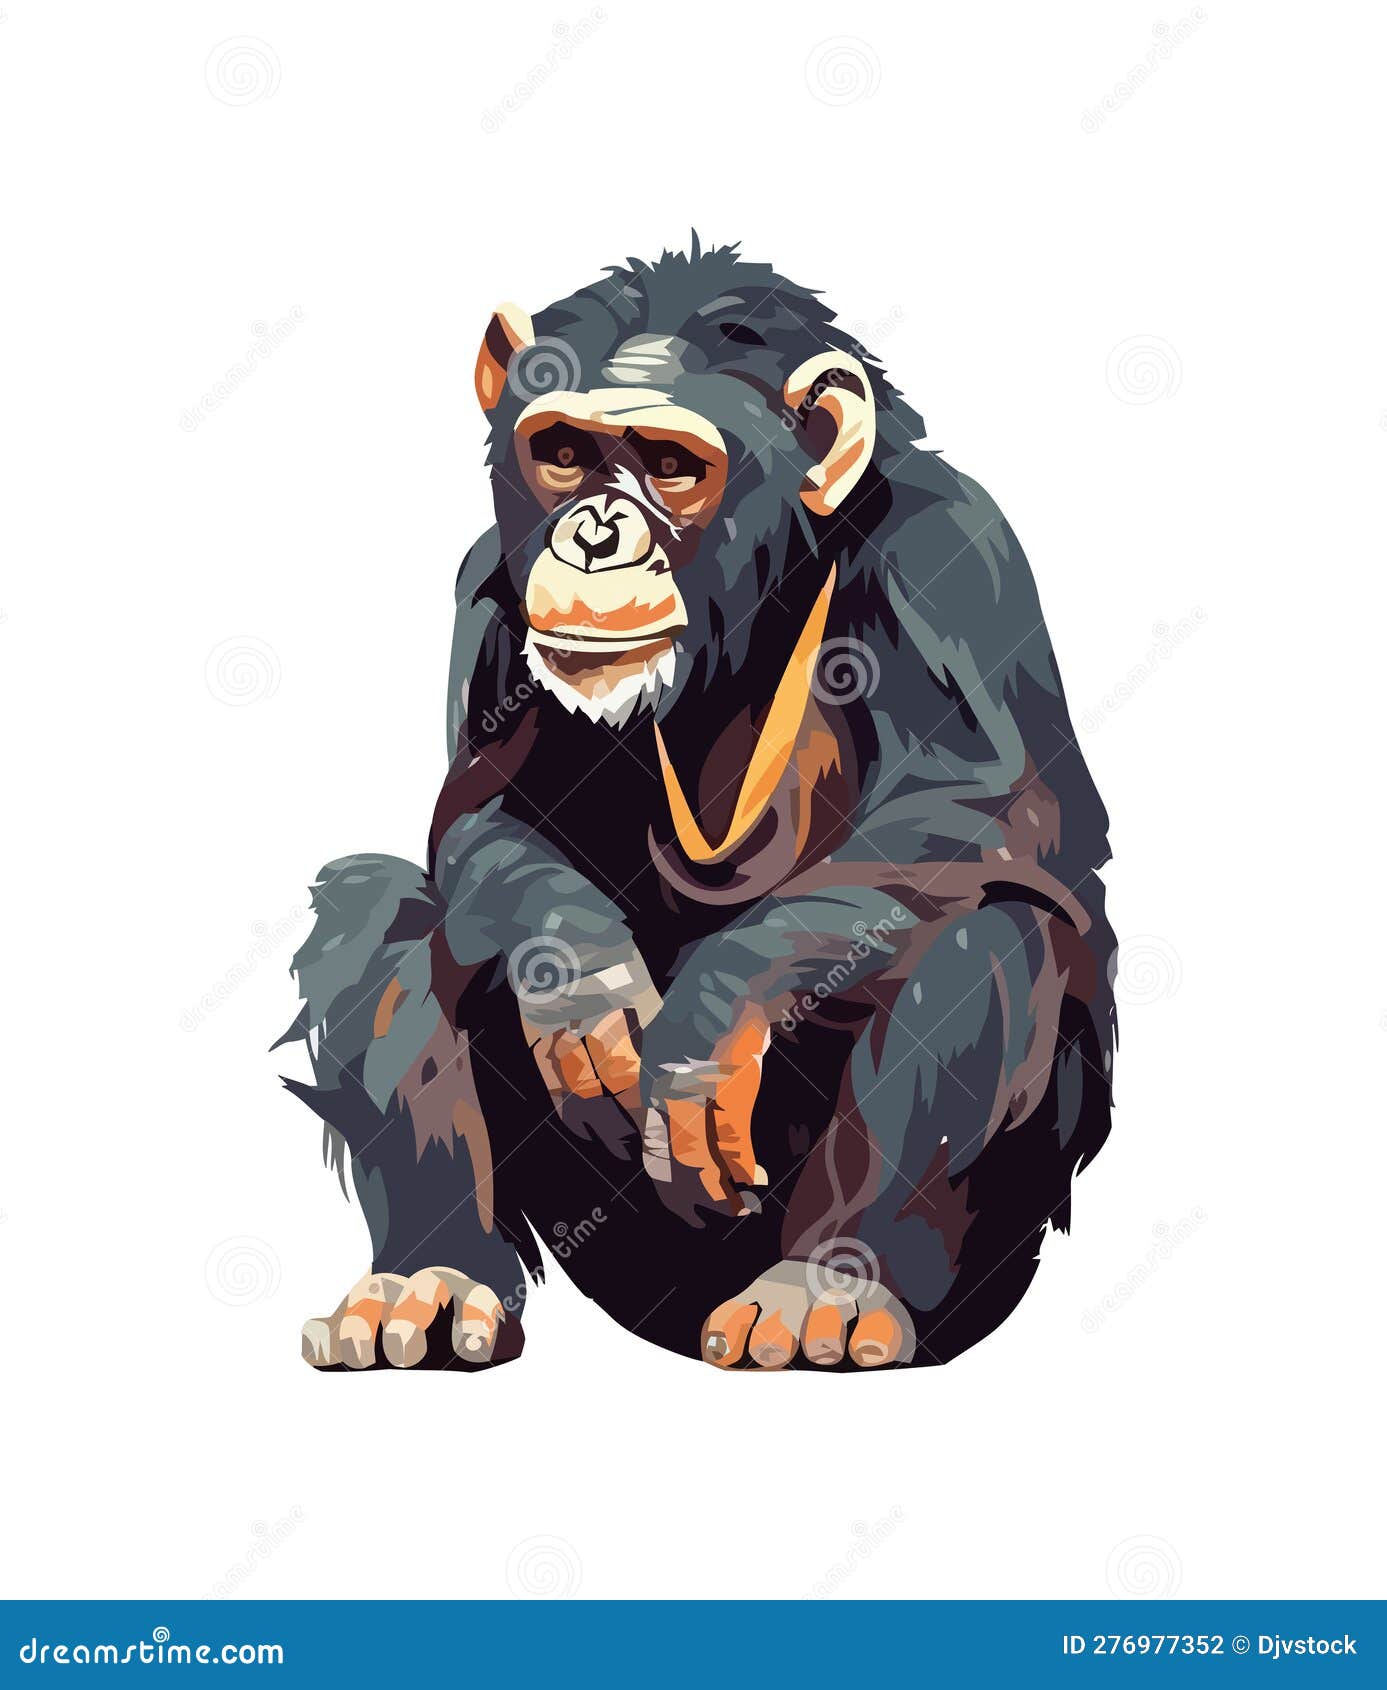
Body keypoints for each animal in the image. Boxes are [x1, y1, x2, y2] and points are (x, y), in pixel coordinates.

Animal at [283, 238, 1116, 1374]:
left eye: (672, 466)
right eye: (562, 451)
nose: (594, 534)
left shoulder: (957, 551)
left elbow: (990, 810)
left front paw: (707, 1029)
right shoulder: (489, 585)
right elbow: (477, 817)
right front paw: (581, 979)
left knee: (990, 931)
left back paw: (823, 1290)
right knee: (374, 901)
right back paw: (432, 1276)